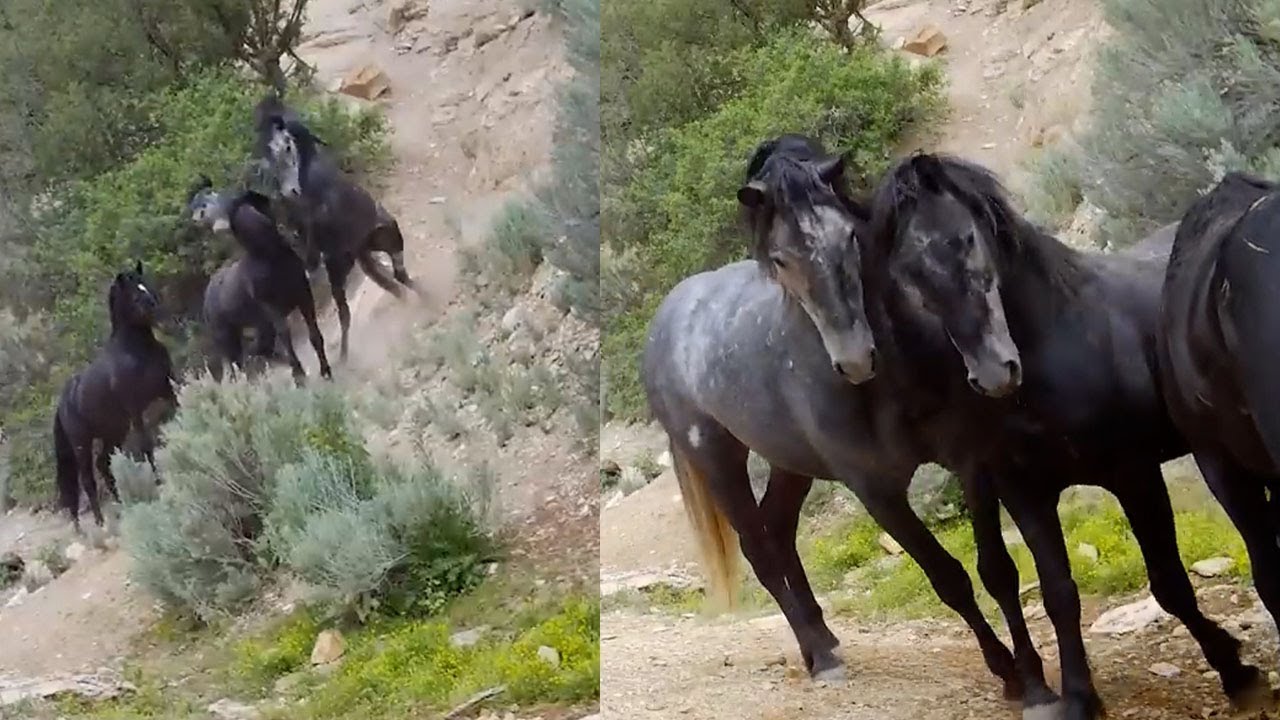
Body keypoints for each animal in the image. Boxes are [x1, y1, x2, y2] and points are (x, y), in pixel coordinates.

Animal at [53, 263, 177, 532]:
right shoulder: (135, 410)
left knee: (104, 465)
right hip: (82, 443)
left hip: (113, 432)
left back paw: (123, 504)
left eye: (146, 284)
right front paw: (158, 481)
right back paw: (100, 521)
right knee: (88, 478)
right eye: (134, 293)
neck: (136, 351)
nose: (155, 306)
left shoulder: (168, 389)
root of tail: (63, 402)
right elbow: (146, 445)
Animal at [187, 177, 332, 383]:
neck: (270, 256)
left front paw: (325, 371)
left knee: (259, 351)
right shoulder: (272, 308)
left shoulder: (304, 296)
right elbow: (286, 338)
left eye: (212, 196)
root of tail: (205, 300)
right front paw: (300, 377)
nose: (219, 226)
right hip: (226, 335)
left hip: (258, 327)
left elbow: (315, 336)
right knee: (239, 364)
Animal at [259, 103, 416, 361]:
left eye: (286, 146)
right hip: (360, 261)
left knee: (389, 282)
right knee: (390, 284)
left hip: (370, 250)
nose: (287, 191)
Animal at [866, 153, 1272, 719]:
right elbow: (1059, 594)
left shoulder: (1135, 475)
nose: (994, 373)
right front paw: (1079, 694)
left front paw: (1234, 670)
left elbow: (1169, 584)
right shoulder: (1025, 493)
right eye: (907, 272)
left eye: (966, 237)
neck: (1064, 339)